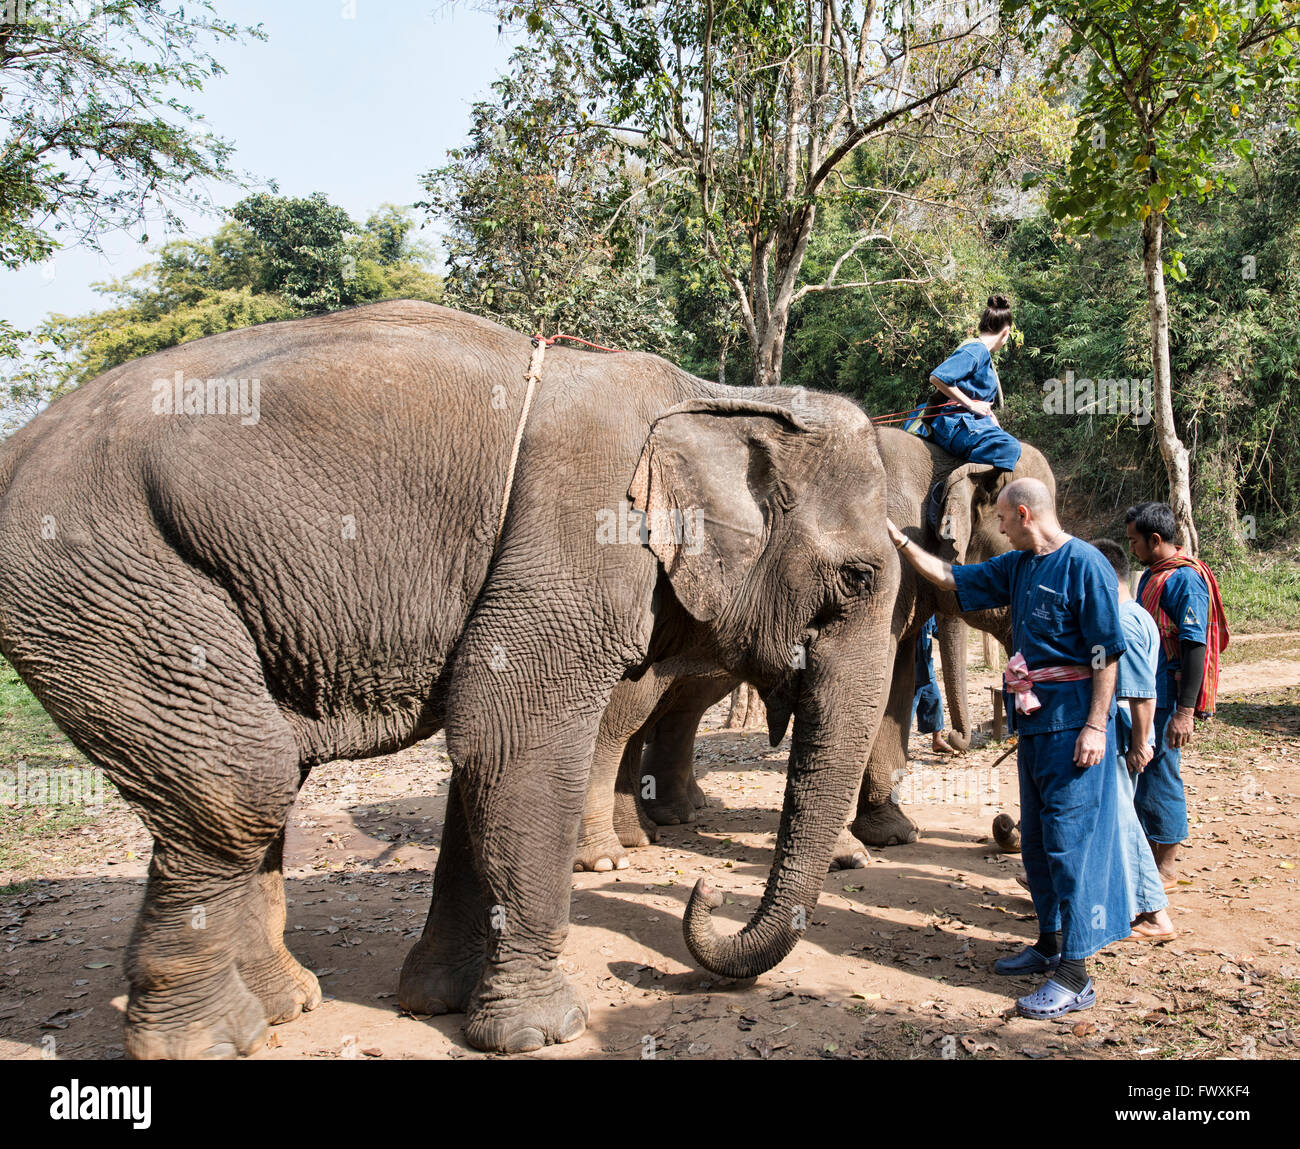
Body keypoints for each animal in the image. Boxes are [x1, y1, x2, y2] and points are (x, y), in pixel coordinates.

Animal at [0, 300, 902, 1058]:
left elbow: (484, 762)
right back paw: (215, 1038)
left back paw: (285, 1004)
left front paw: (436, 1000)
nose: (705, 892)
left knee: (252, 780)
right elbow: (515, 743)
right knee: (242, 781)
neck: (712, 399)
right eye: (858, 578)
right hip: (103, 582)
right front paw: (543, 1032)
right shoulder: (572, 541)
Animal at [575, 425, 1055, 869]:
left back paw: (672, 816)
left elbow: (895, 690)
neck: (943, 457)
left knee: (679, 706)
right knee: (629, 712)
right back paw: (621, 846)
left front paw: (894, 835)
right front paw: (849, 854)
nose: (1002, 825)